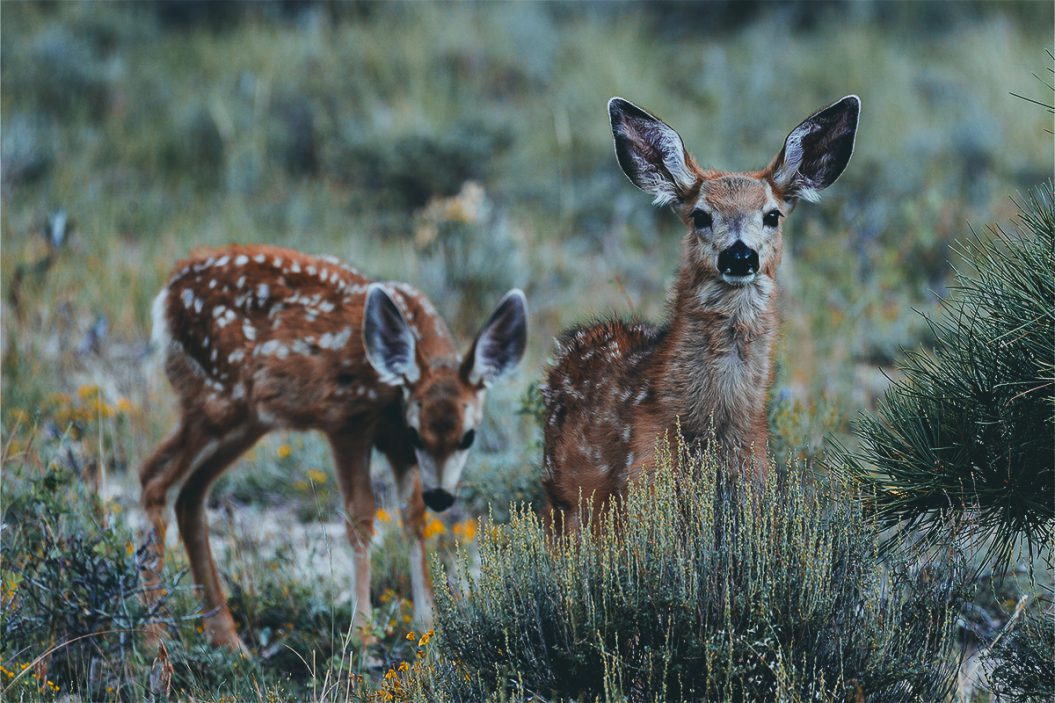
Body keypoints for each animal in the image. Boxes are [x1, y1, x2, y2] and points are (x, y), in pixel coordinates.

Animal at [140, 244, 527, 651]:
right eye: (418, 432)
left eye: (469, 436)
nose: (441, 496)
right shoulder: (347, 418)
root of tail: (168, 291)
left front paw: (428, 626)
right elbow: (361, 515)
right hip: (214, 399)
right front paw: (362, 634)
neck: (391, 390)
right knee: (155, 477)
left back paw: (228, 639)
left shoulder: (396, 444)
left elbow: (413, 517)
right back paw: (154, 639)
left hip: (247, 418)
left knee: (190, 493)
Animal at [541, 96, 860, 535]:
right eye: (700, 215)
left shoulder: (754, 481)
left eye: (772, 215)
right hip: (563, 501)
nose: (740, 255)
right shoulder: (640, 481)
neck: (711, 428)